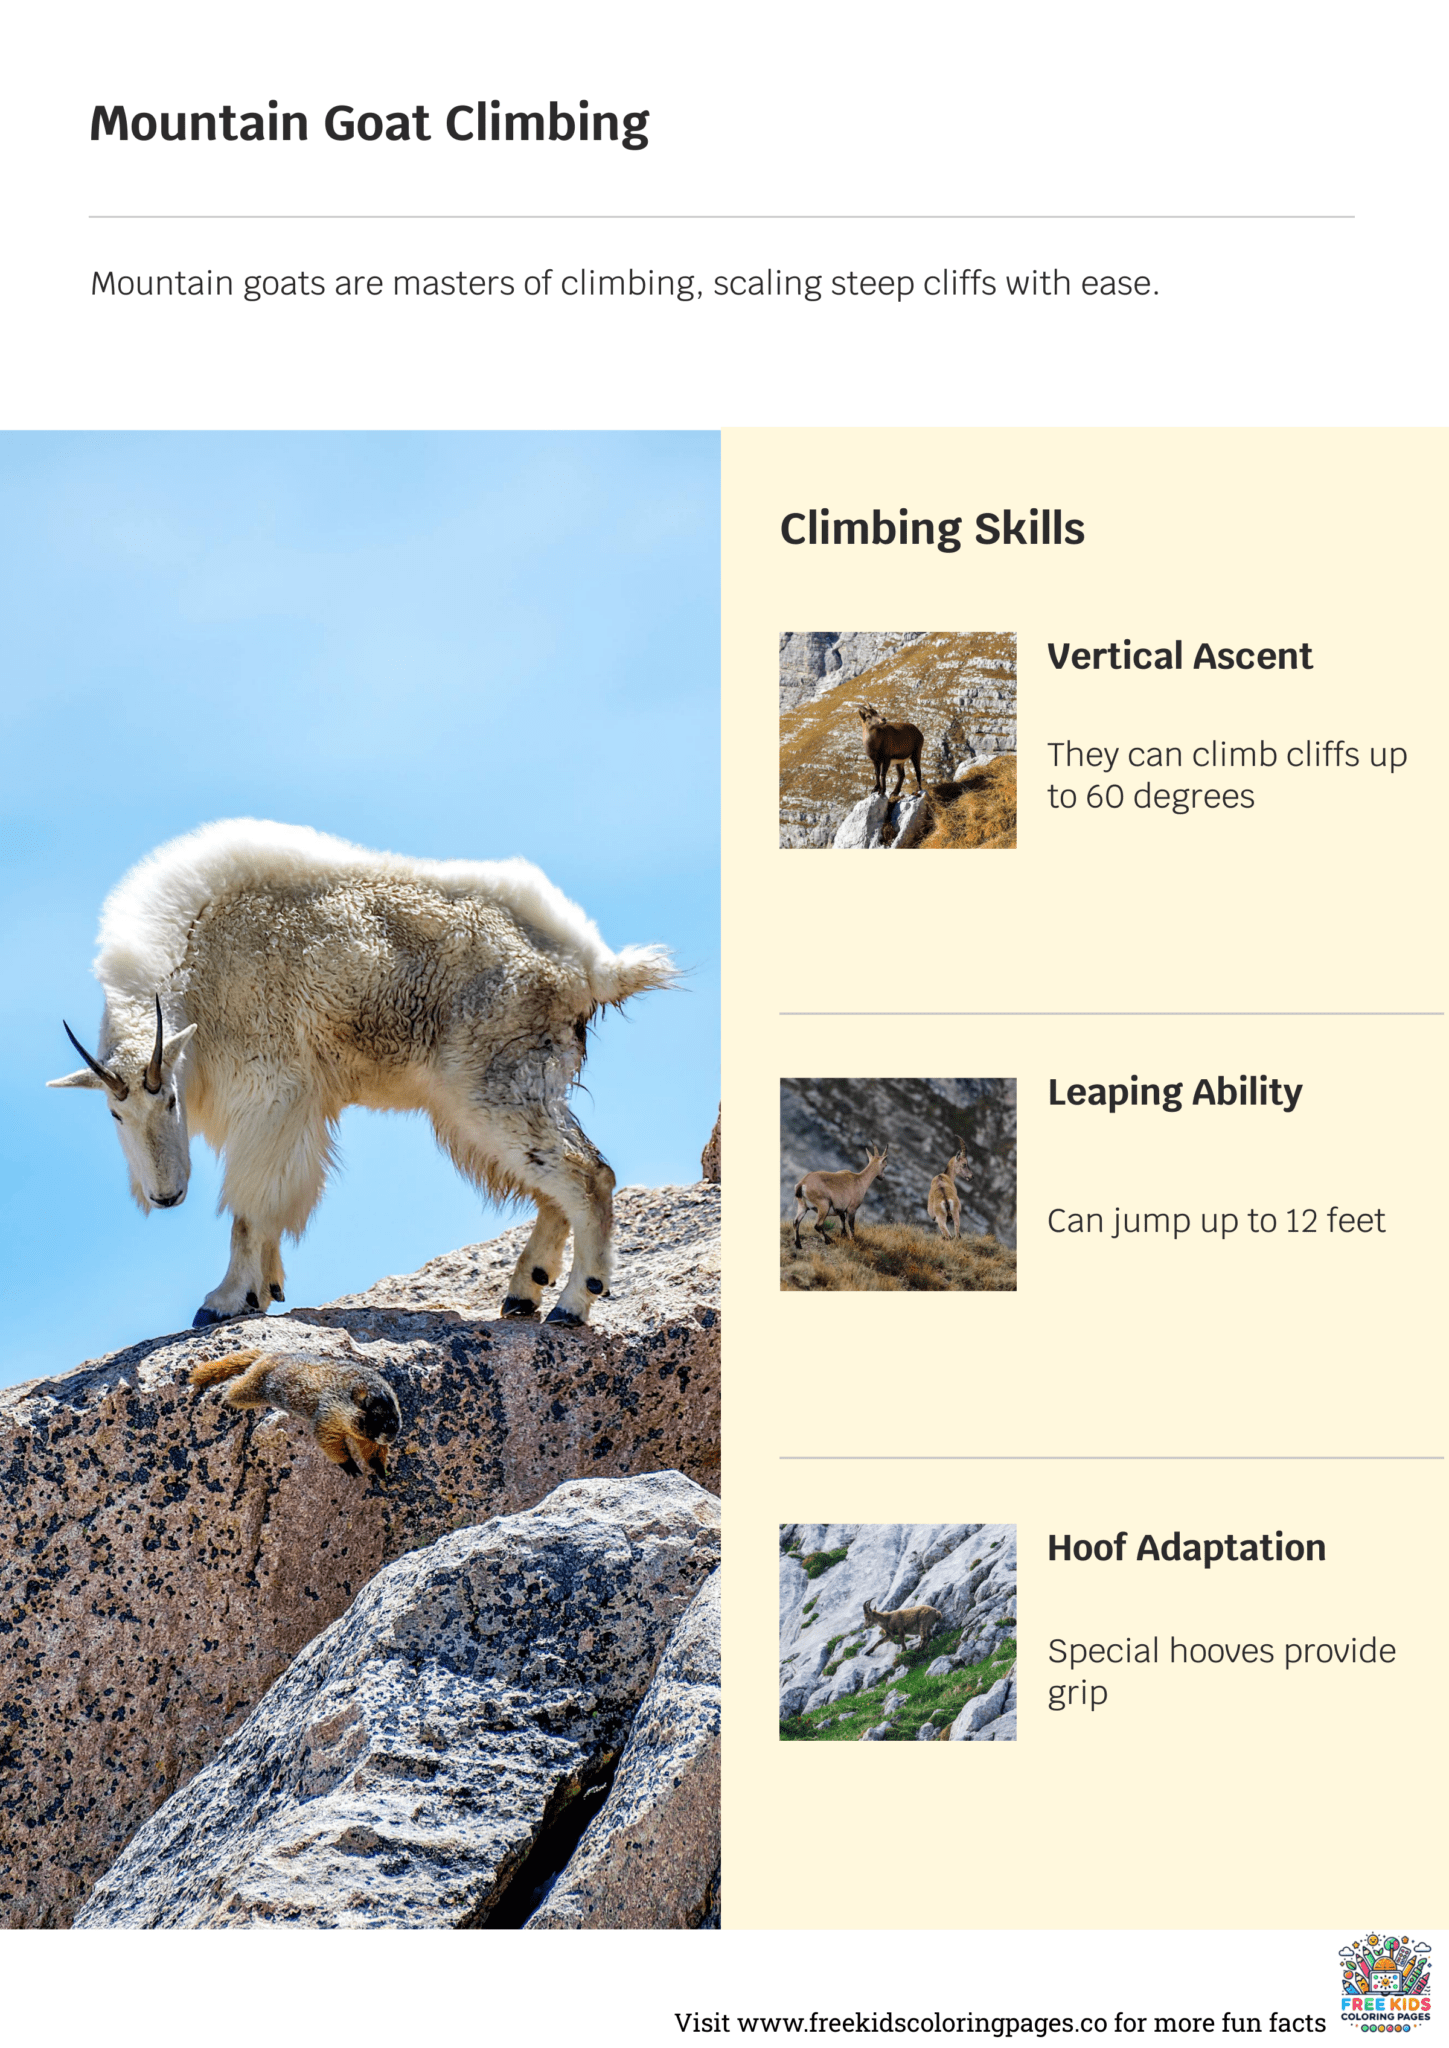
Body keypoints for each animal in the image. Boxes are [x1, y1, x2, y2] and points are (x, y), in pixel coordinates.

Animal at [49, 819, 675, 1330]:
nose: (168, 1195)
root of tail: (586, 968)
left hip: (495, 1082)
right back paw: (525, 1292)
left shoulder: (271, 1093)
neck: (197, 959)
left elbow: (250, 1207)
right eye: (114, 1114)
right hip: (487, 1096)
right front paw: (266, 1289)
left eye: (171, 1101)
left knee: (586, 1174)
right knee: (557, 1182)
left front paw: (224, 1301)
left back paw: (572, 1304)